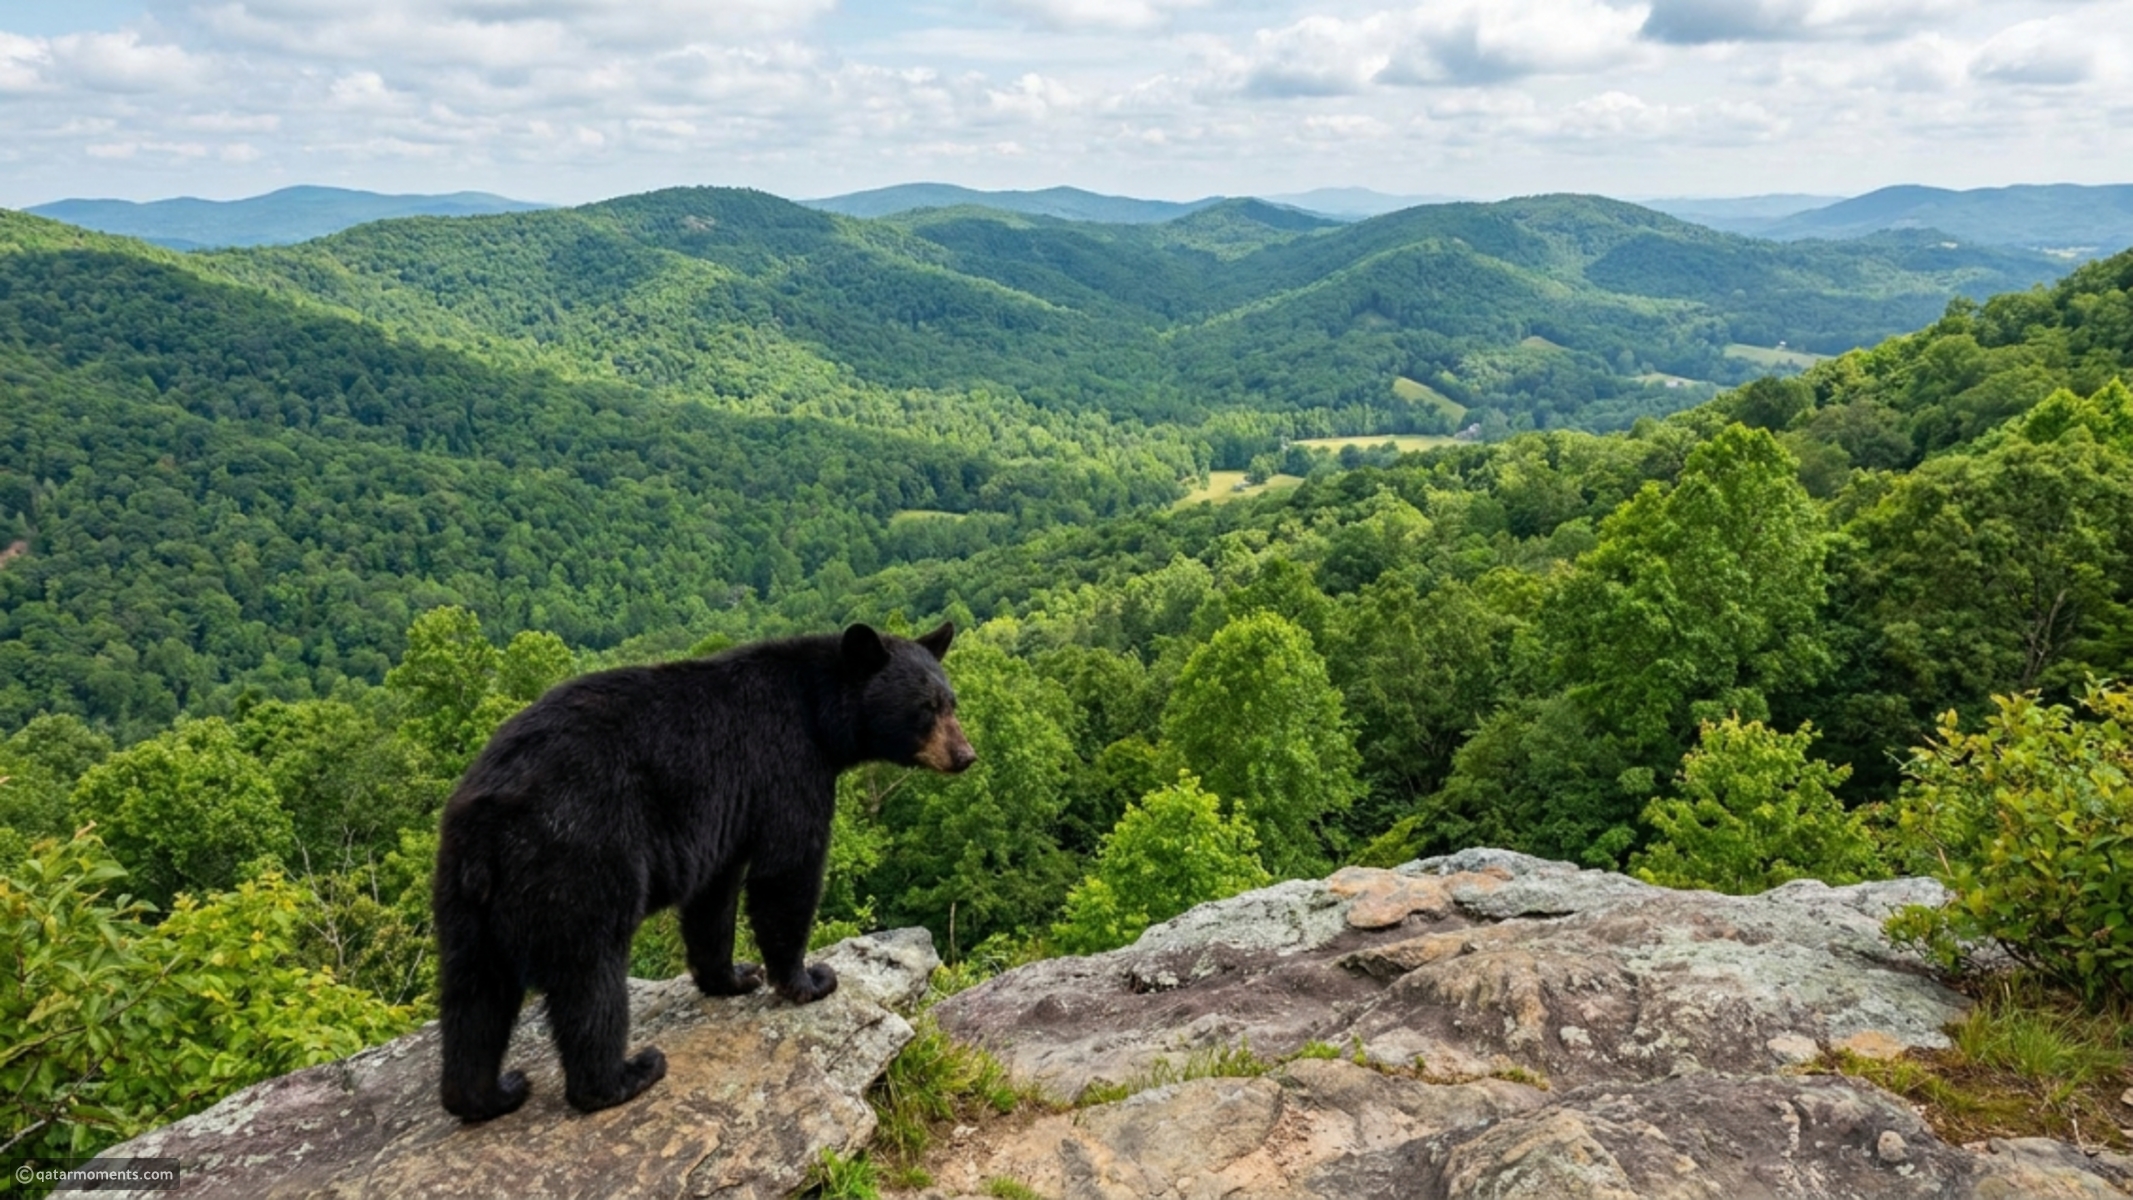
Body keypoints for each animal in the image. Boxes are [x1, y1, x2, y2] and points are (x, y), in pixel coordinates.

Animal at [432, 622, 974, 1121]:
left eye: (952, 701)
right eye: (926, 707)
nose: (965, 756)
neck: (818, 714)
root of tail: (490, 814)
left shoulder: (722, 819)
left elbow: (714, 897)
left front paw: (732, 976)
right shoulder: (786, 766)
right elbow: (787, 872)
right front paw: (808, 980)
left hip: (465, 893)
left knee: (474, 992)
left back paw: (489, 1094)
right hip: (578, 854)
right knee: (589, 976)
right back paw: (624, 1077)